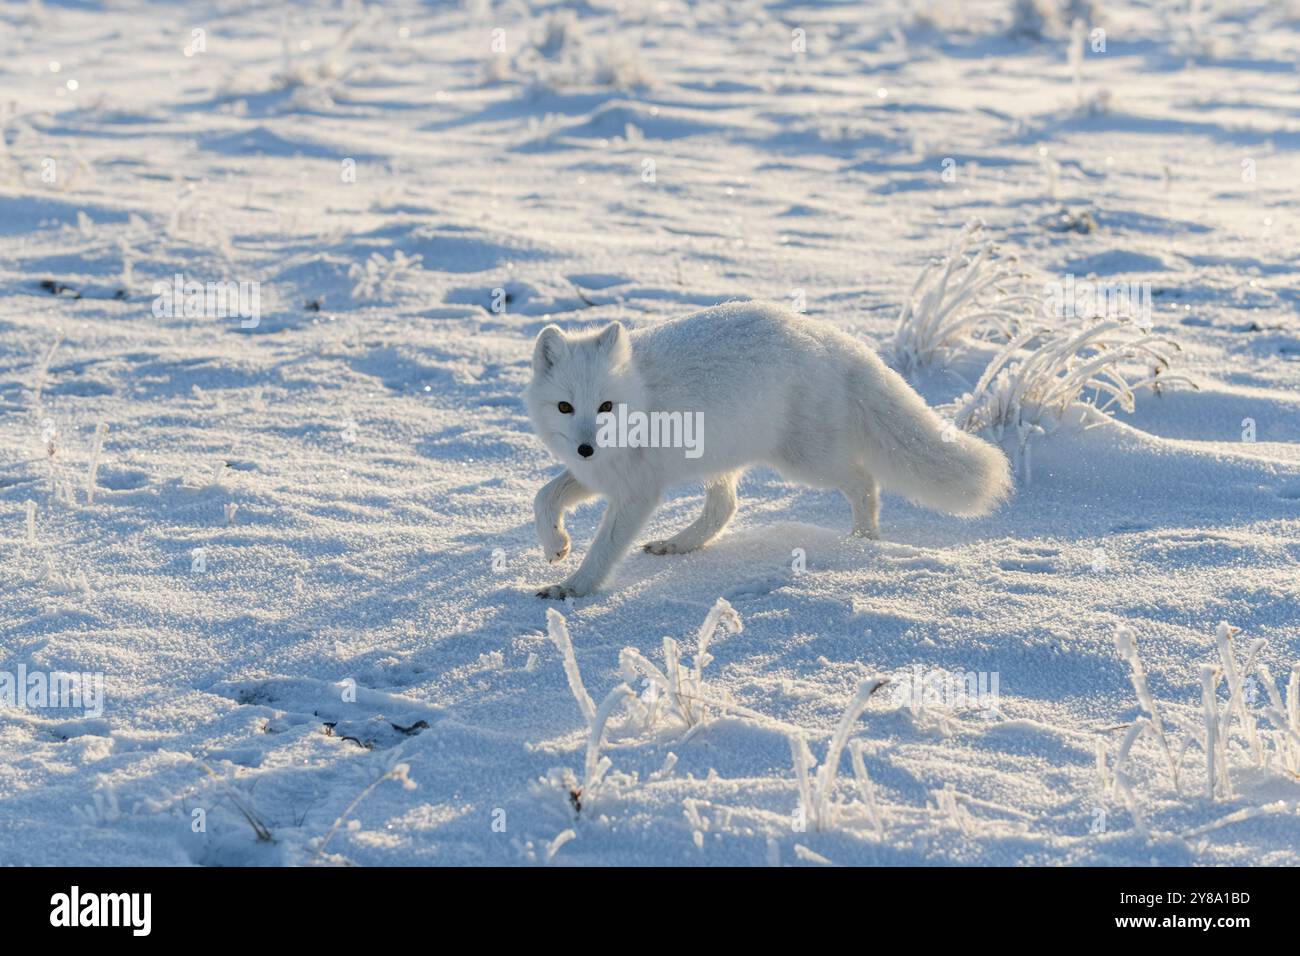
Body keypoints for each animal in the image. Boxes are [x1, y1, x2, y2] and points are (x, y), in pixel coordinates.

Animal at [526, 301, 1013, 598]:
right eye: (566, 407)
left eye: (606, 406)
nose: (586, 447)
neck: (642, 398)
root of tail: (835, 339)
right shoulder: (599, 474)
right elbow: (544, 495)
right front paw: (556, 546)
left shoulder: (637, 491)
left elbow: (605, 547)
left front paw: (574, 587)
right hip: (726, 457)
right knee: (725, 506)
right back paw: (679, 544)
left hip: (805, 461)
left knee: (864, 481)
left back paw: (863, 540)